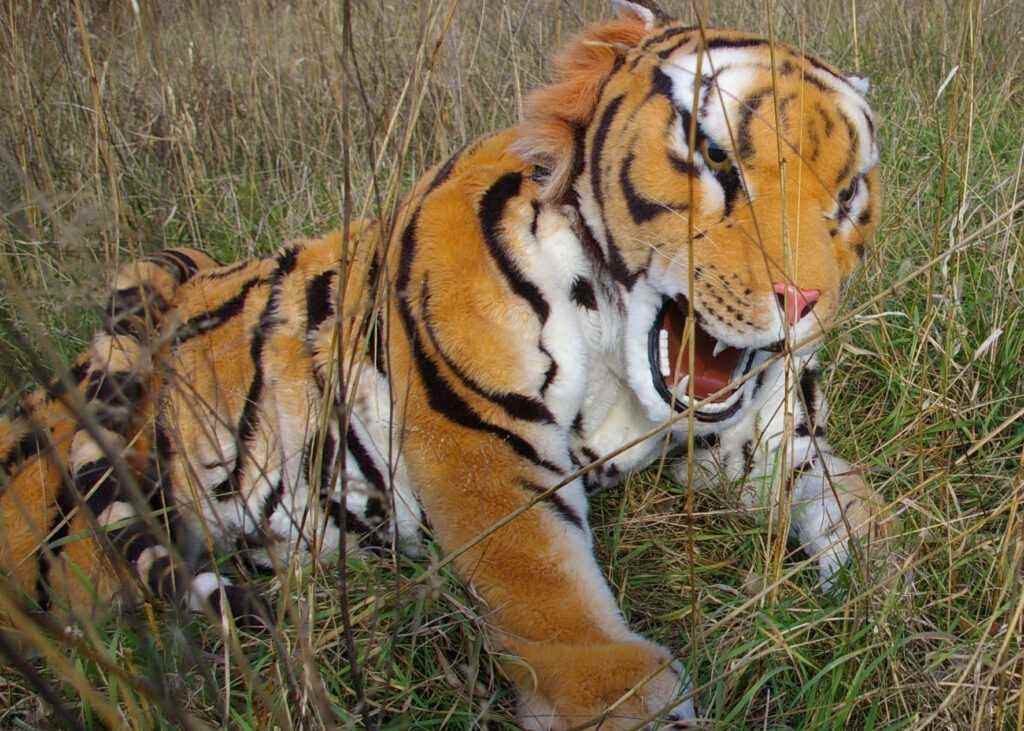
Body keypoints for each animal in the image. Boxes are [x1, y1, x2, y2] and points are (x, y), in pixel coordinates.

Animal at [0, 1, 889, 727]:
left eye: (847, 194)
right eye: (715, 157)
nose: (806, 299)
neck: (619, 354)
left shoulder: (757, 439)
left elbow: (859, 505)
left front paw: (889, 586)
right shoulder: (483, 441)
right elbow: (550, 596)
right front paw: (629, 702)